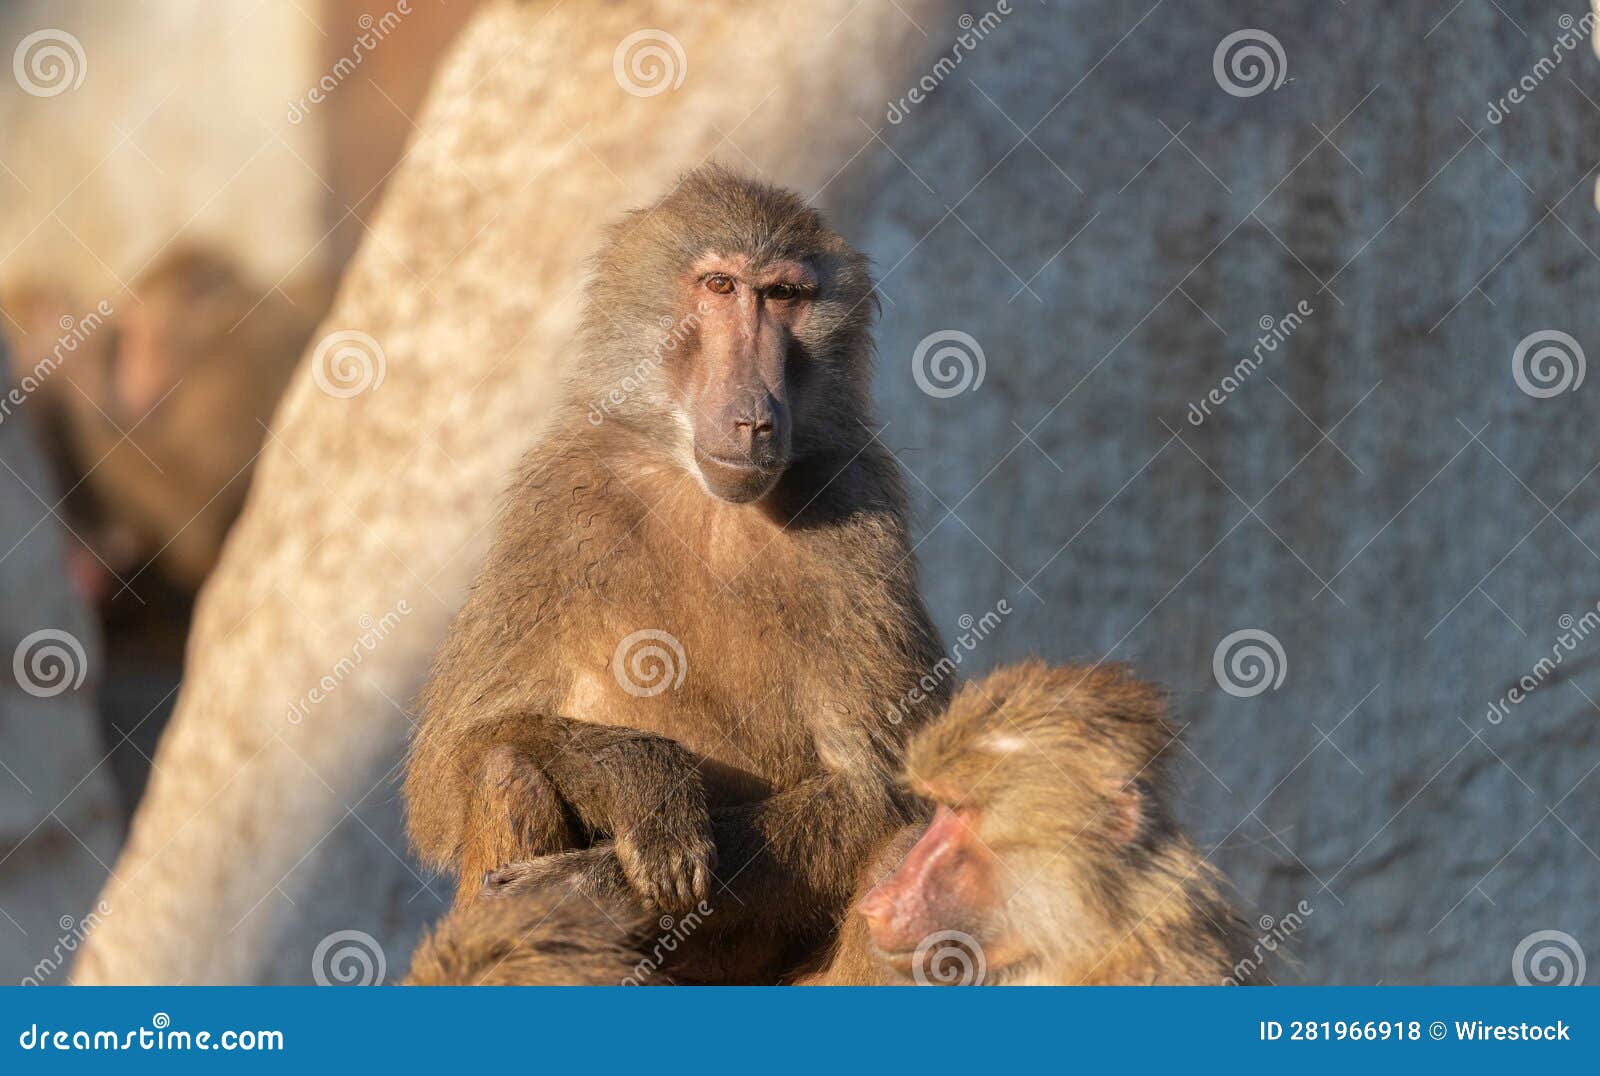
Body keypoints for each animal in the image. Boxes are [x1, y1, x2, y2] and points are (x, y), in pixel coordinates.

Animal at [403, 165, 950, 983]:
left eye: (785, 296)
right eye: (719, 286)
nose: (754, 419)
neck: (706, 496)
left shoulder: (859, 506)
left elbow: (888, 792)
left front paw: (599, 888)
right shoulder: (554, 506)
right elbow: (445, 770)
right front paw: (641, 783)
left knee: (904, 853)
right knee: (506, 767)